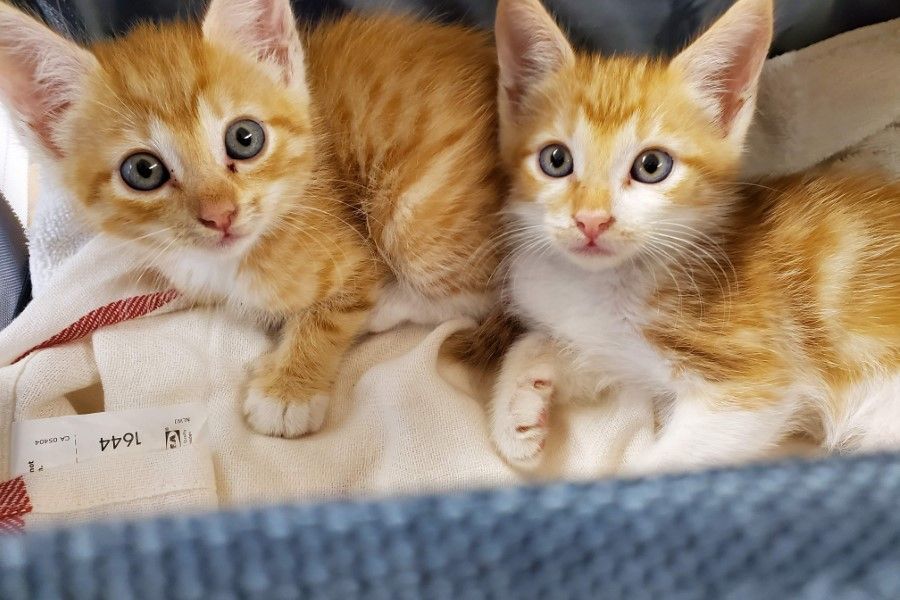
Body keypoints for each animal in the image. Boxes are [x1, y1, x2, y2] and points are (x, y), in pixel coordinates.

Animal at [0, 0, 502, 436]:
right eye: (143, 171)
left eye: (245, 138)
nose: (220, 215)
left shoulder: (351, 253)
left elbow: (337, 307)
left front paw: (289, 389)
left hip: (418, 219)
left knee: (480, 295)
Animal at [492, 0, 900, 472]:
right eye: (555, 159)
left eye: (652, 166)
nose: (591, 220)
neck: (606, 282)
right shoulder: (609, 343)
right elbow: (547, 344)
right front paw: (516, 409)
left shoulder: (753, 380)